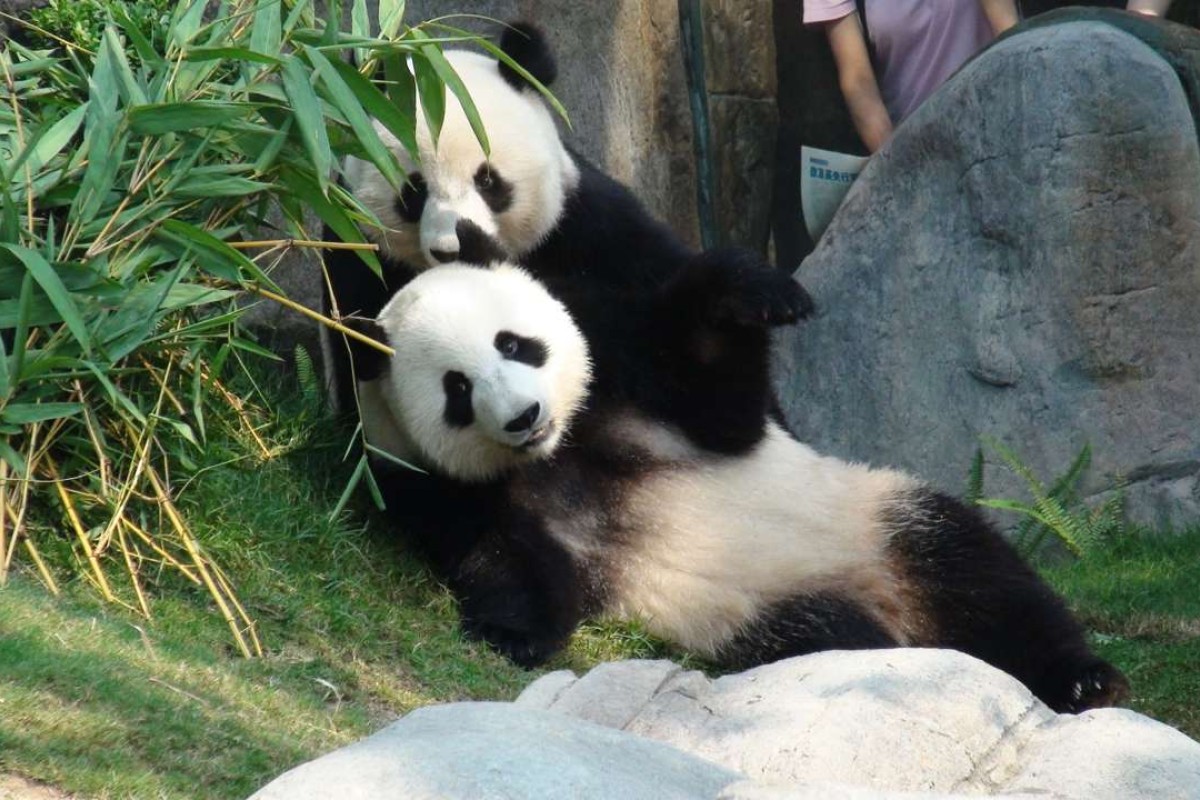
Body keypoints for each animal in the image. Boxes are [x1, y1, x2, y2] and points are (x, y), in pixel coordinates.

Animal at [347, 259, 1130, 716]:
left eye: (515, 344)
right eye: (456, 389)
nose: (523, 415)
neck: (562, 450)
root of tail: (888, 604)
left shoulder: (626, 365)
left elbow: (723, 408)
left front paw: (757, 296)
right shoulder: (445, 484)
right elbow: (504, 553)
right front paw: (511, 631)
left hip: (873, 519)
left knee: (976, 573)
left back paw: (1085, 680)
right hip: (769, 613)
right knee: (835, 636)